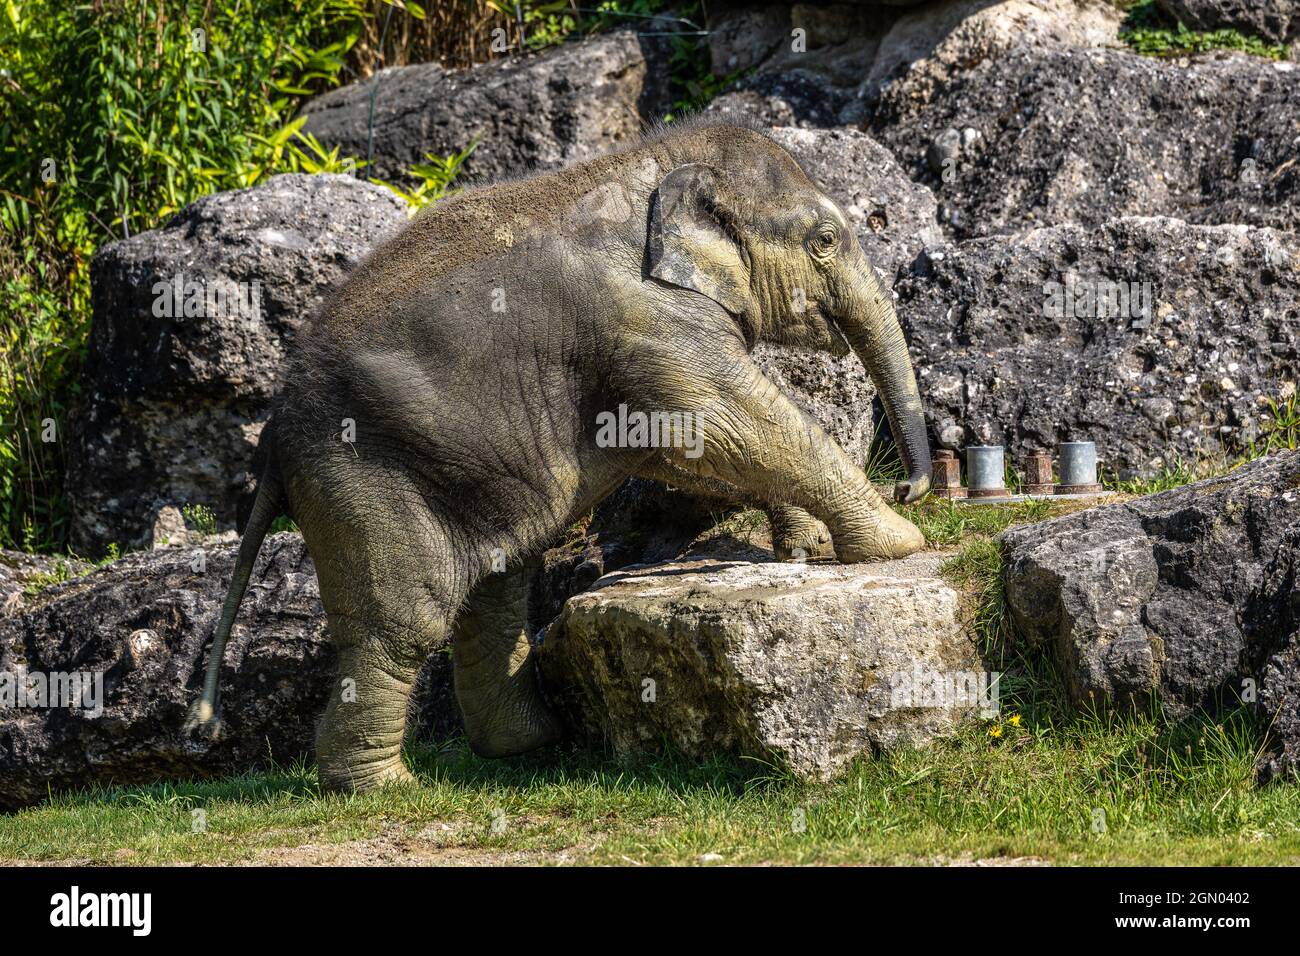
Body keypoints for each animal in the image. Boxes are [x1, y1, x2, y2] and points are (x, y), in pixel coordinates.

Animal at [187, 118, 933, 793]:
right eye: (825, 241)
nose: (910, 488)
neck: (660, 159)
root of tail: (271, 442)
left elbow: (689, 448)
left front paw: (804, 548)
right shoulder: (644, 321)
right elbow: (715, 421)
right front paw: (897, 541)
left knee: (493, 590)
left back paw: (530, 745)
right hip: (360, 472)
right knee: (404, 624)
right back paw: (386, 787)